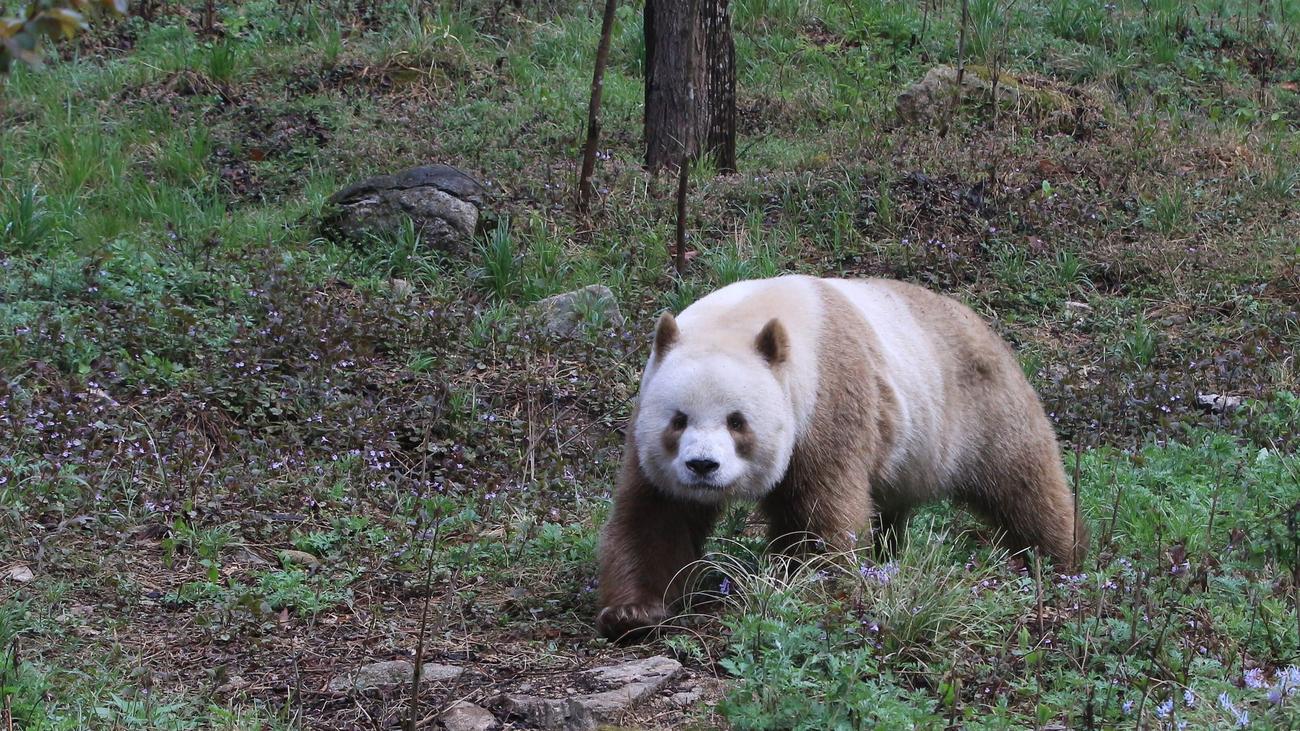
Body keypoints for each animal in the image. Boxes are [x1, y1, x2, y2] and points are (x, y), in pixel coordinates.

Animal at [596, 275, 1088, 641]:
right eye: (678, 420)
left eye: (737, 422)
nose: (702, 466)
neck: (746, 318)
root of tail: (980, 321)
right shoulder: (647, 426)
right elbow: (656, 514)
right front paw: (633, 614)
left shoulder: (826, 399)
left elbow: (820, 511)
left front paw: (809, 587)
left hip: (975, 408)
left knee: (1022, 482)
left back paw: (1060, 561)